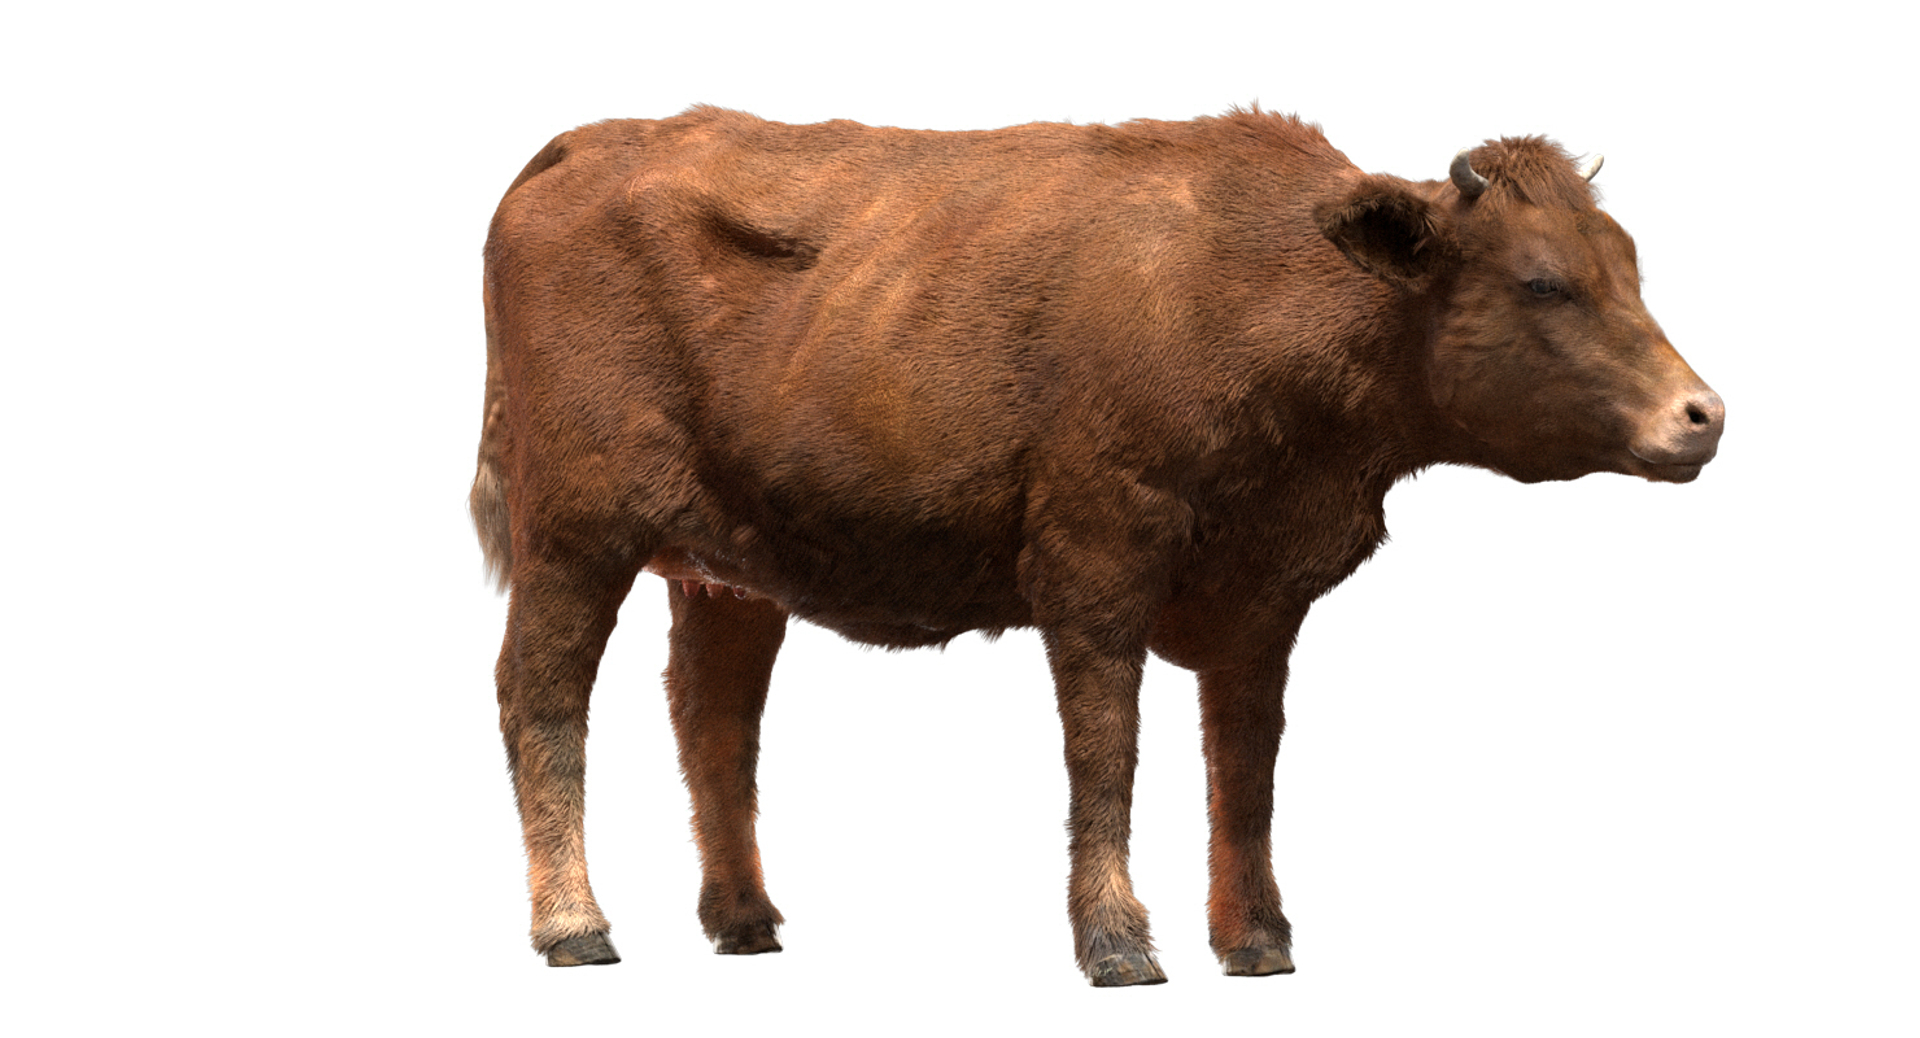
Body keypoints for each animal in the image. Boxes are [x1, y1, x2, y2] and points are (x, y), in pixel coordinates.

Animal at [471, 105, 1723, 986]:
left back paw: (743, 921)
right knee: (542, 695)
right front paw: (1120, 944)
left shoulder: (1263, 602)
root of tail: (582, 146)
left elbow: (1246, 770)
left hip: (730, 572)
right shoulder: (1094, 564)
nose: (1703, 414)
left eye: (1631, 269)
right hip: (574, 529)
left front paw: (1258, 940)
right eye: (1544, 282)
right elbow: (1106, 756)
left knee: (714, 719)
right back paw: (574, 924)